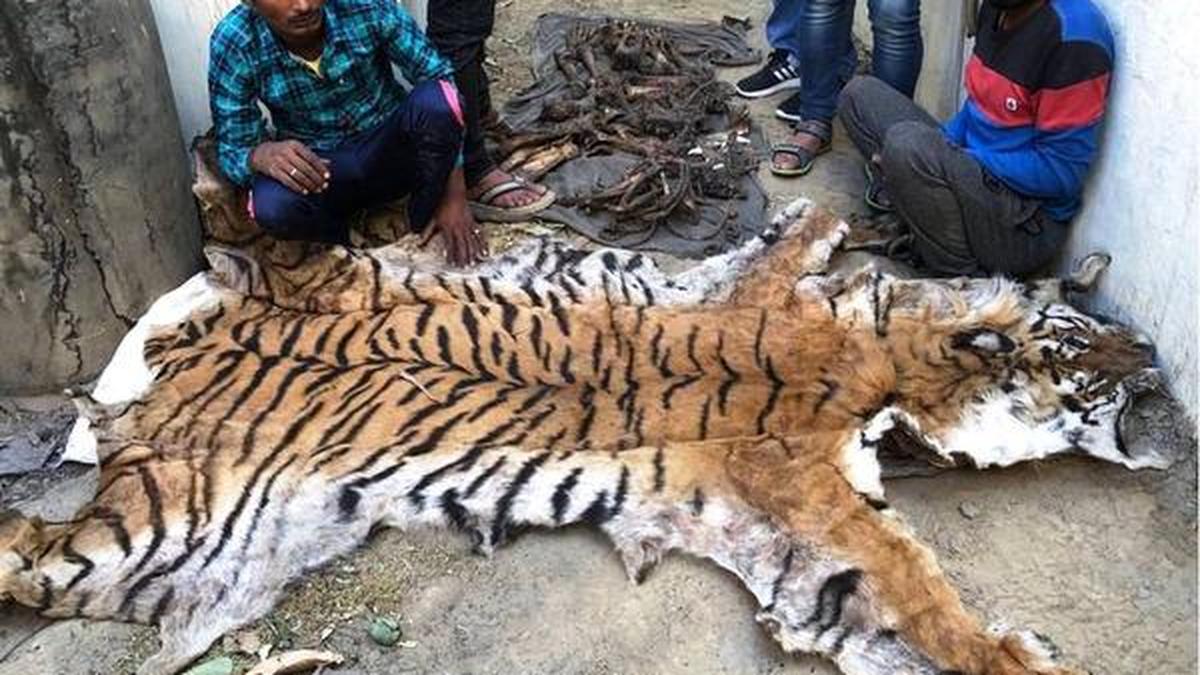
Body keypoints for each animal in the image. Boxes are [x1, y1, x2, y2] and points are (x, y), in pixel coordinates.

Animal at [0, 153, 1165, 675]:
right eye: (1086, 361)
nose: (1154, 352)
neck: (894, 367)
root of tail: (164, 377)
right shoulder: (814, 473)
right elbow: (917, 585)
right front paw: (1013, 657)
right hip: (160, 513)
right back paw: (219, 174)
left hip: (212, 516)